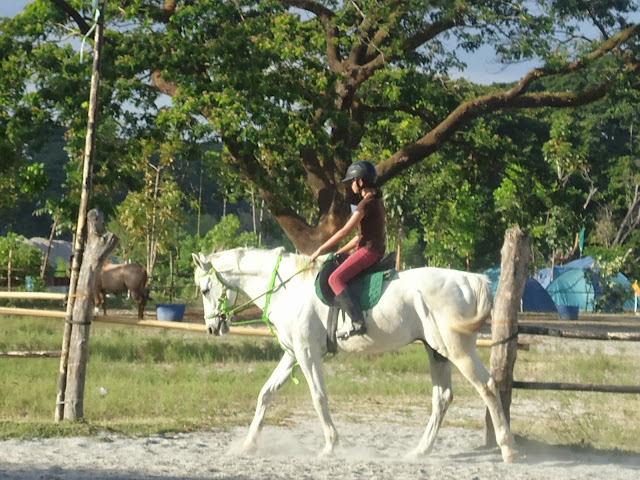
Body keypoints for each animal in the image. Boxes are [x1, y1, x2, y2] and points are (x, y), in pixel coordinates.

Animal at [192, 246, 517, 463]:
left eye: (206, 289)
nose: (211, 328)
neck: (288, 288)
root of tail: (468, 280)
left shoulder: (307, 353)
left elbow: (318, 397)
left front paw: (329, 445)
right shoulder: (293, 353)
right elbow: (266, 394)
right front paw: (248, 445)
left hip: (457, 349)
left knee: (487, 387)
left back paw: (507, 449)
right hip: (436, 351)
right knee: (442, 398)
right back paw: (419, 451)